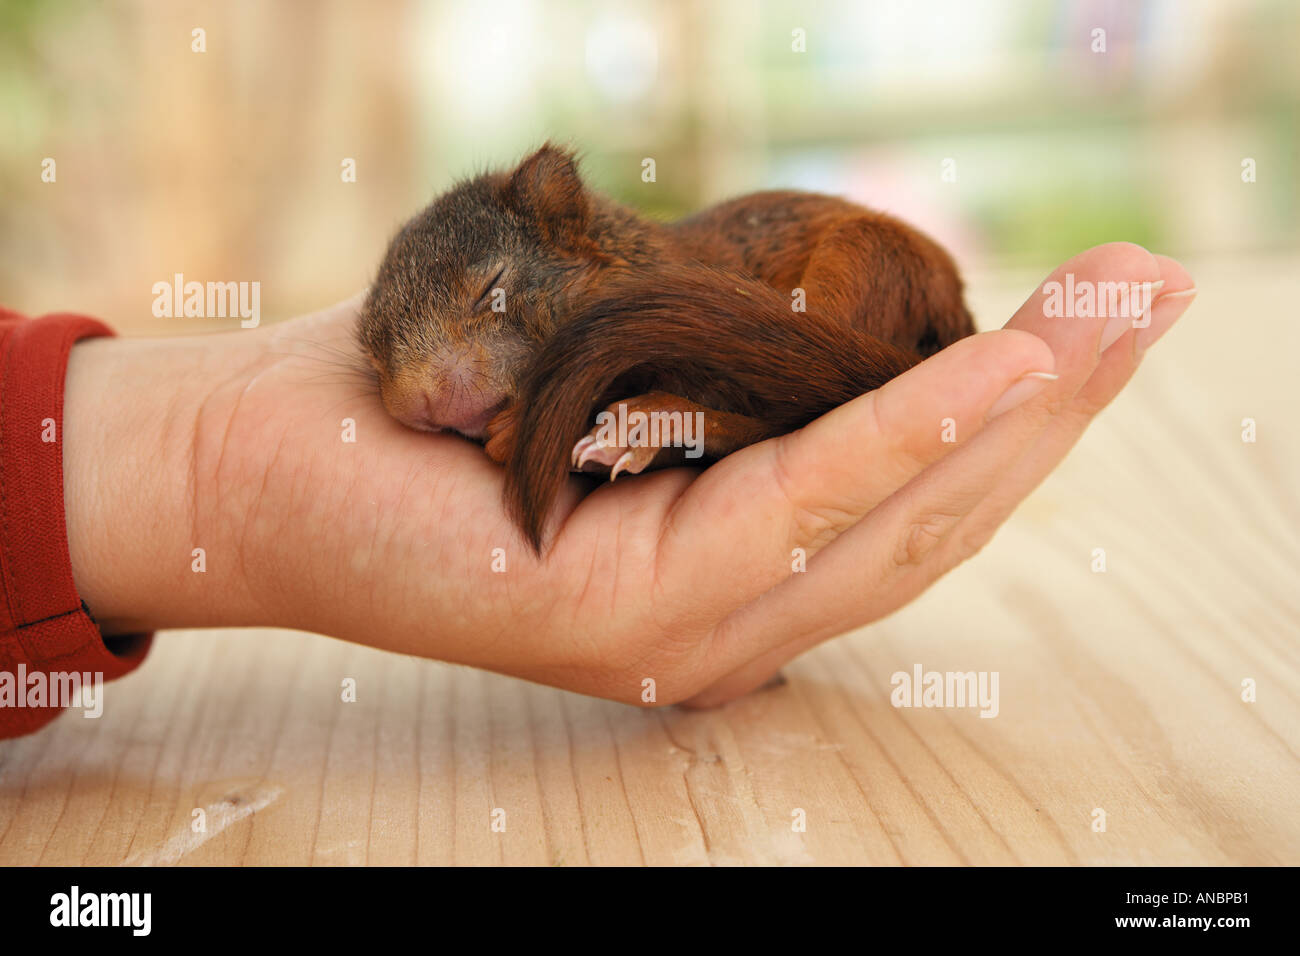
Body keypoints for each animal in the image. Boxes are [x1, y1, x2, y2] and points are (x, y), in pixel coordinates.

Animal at [359, 144, 977, 551]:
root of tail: (955, 311)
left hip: (867, 260)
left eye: (492, 286)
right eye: (369, 347)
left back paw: (652, 423)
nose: (420, 405)